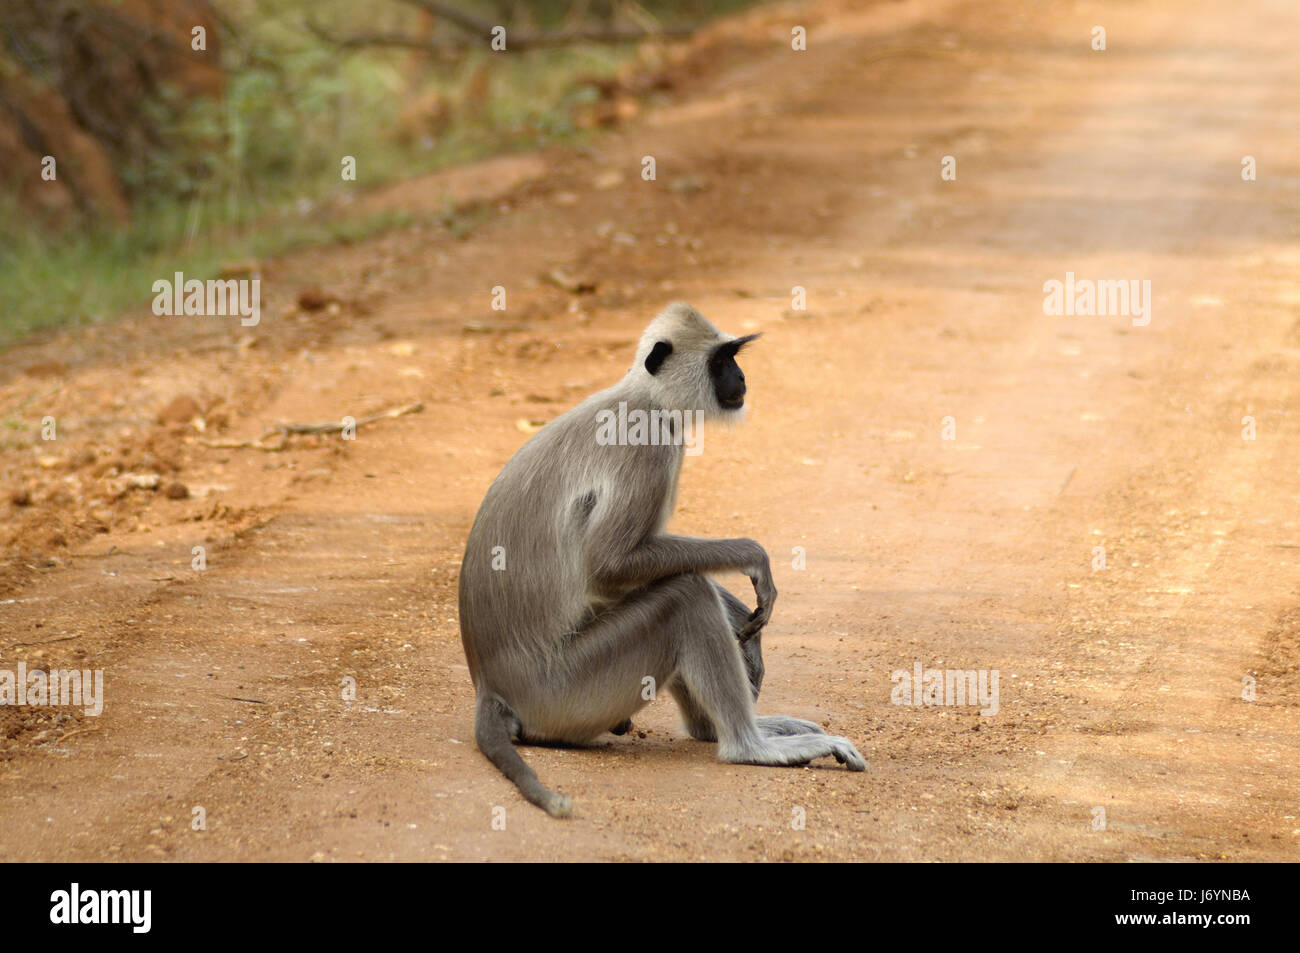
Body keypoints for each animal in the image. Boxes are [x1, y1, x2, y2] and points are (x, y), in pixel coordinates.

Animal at [458, 302, 866, 817]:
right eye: (721, 360)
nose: (741, 378)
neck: (645, 396)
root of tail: (490, 685)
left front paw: (744, 623)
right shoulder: (648, 443)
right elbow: (608, 565)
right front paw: (752, 557)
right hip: (567, 691)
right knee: (684, 595)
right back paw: (749, 746)